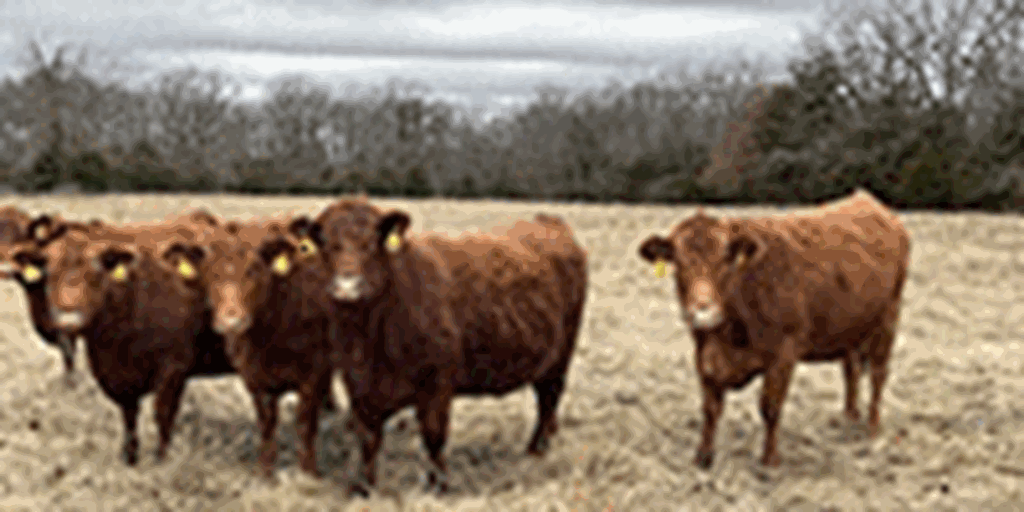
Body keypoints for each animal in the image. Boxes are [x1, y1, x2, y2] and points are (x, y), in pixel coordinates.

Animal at [160, 216, 340, 479]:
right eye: (210, 272)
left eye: (254, 269)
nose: (231, 321)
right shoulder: (254, 378)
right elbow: (266, 423)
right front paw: (266, 473)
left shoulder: (313, 374)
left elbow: (305, 424)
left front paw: (309, 473)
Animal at [285, 197, 588, 497]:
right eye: (325, 243)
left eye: (372, 243)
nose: (347, 287)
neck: (370, 335)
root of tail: (547, 221)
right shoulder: (357, 381)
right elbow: (368, 437)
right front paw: (363, 486)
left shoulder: (437, 383)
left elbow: (433, 434)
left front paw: (438, 485)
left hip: (561, 354)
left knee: (549, 397)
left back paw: (537, 448)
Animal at [638, 189, 910, 469]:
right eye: (678, 262)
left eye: (726, 260)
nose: (703, 311)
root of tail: (867, 200)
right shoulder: (704, 354)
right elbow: (710, 408)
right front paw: (703, 456)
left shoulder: (784, 354)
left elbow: (770, 406)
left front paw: (769, 460)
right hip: (852, 328)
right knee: (852, 369)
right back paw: (849, 417)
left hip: (888, 318)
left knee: (878, 374)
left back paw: (872, 428)